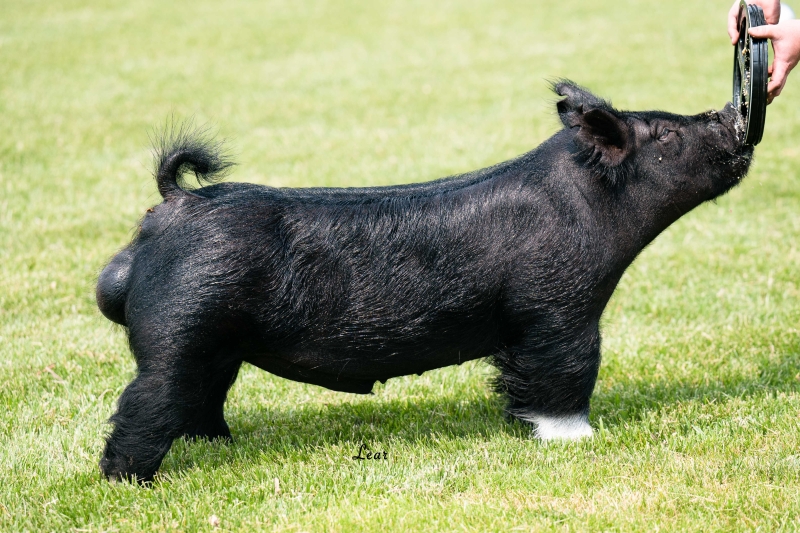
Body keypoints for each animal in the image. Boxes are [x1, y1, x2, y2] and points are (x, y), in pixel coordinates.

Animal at [96, 81, 752, 481]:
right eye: (666, 135)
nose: (728, 114)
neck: (587, 204)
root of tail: (176, 203)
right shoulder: (556, 308)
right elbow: (567, 370)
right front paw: (579, 441)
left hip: (217, 345)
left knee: (202, 397)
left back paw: (220, 448)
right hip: (181, 329)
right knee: (144, 402)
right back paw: (130, 483)